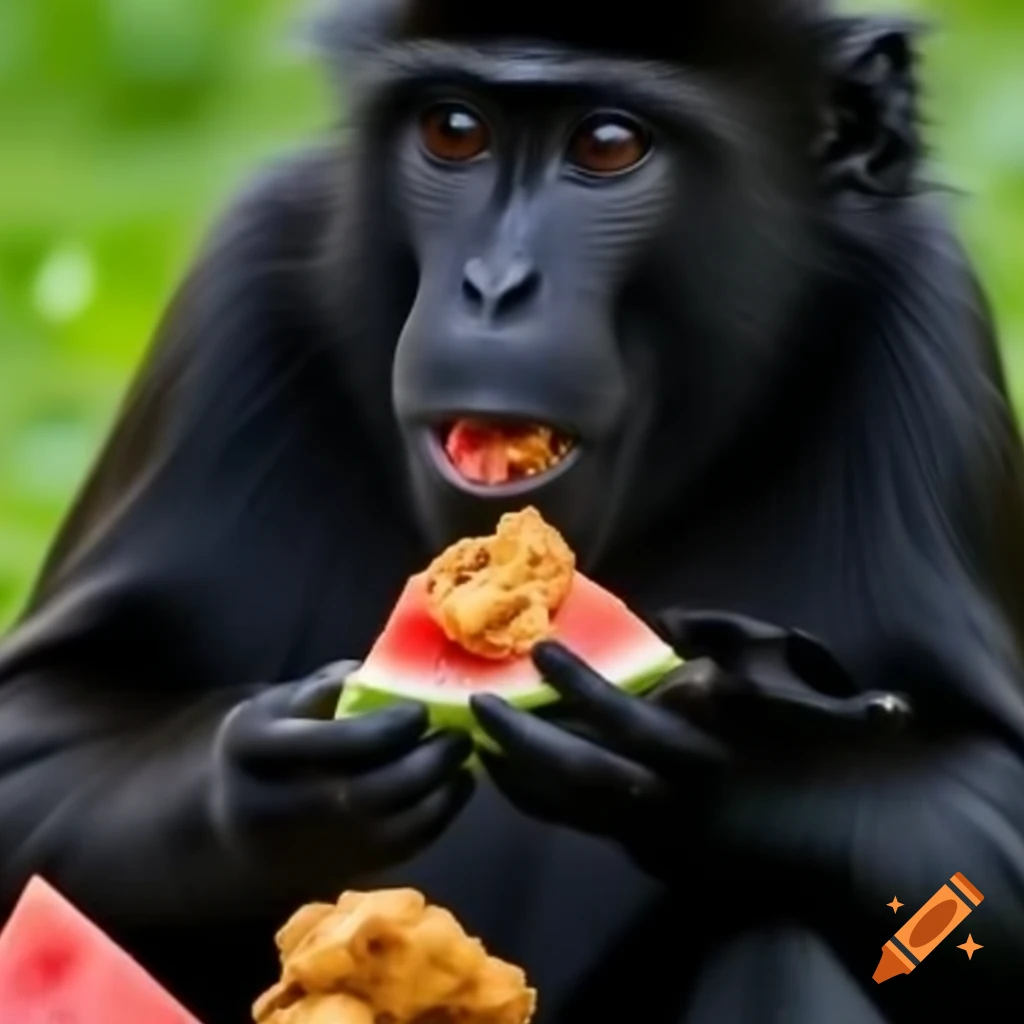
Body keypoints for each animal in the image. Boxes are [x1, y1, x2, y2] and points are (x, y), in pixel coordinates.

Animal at [1, 1, 1023, 1021]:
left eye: (608, 146)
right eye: (455, 130)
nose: (493, 287)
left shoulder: (924, 320)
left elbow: (994, 812)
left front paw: (742, 753)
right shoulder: (245, 275)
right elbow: (36, 732)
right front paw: (265, 780)